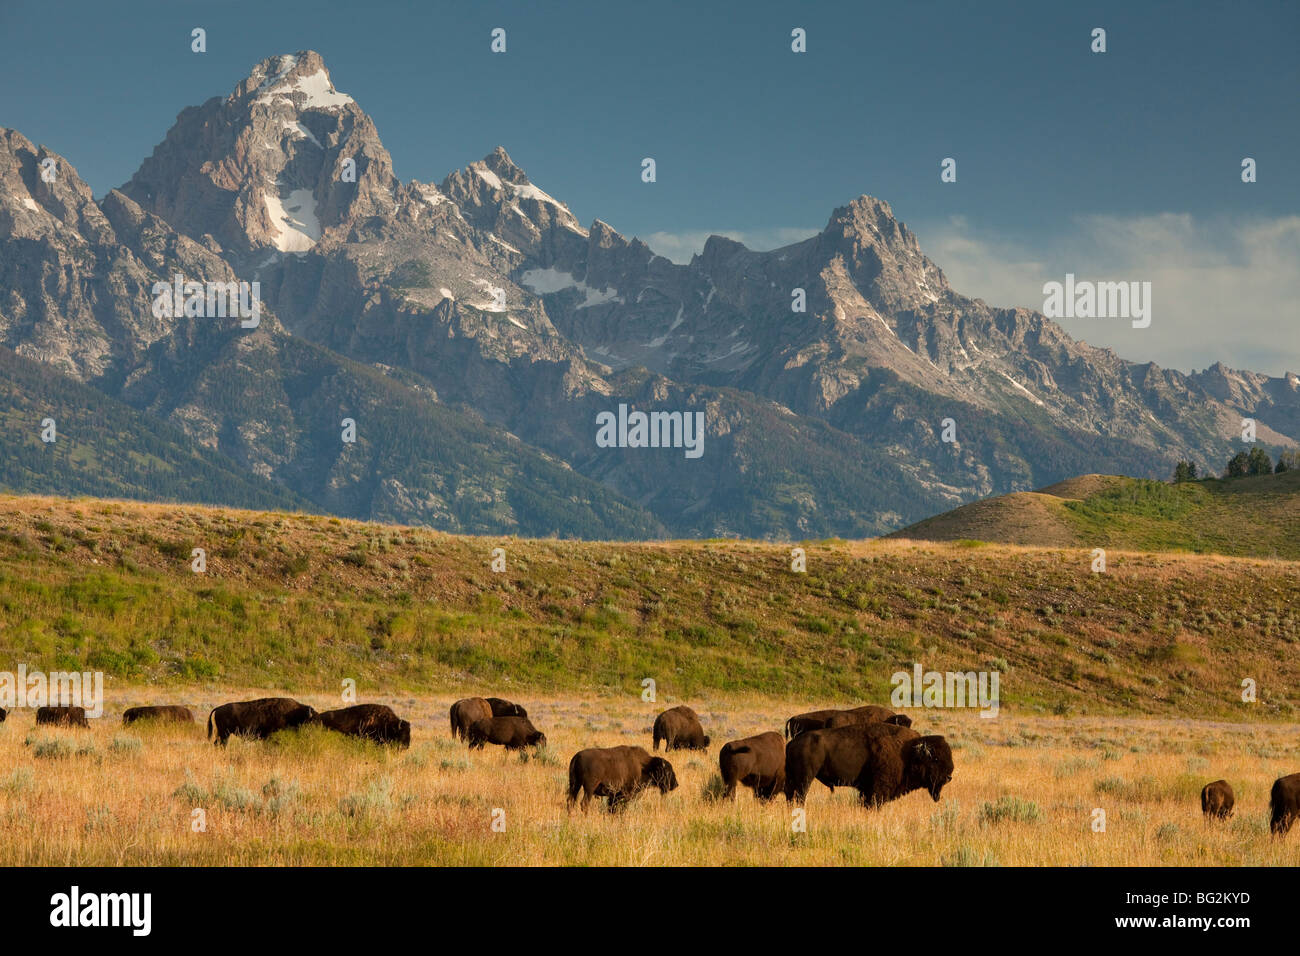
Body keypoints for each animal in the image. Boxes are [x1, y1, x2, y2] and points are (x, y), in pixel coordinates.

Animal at [784, 722, 954, 806]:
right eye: (936, 759)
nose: (948, 777)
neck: (908, 751)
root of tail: (792, 743)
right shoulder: (878, 789)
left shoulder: (866, 789)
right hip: (805, 778)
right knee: (800, 795)